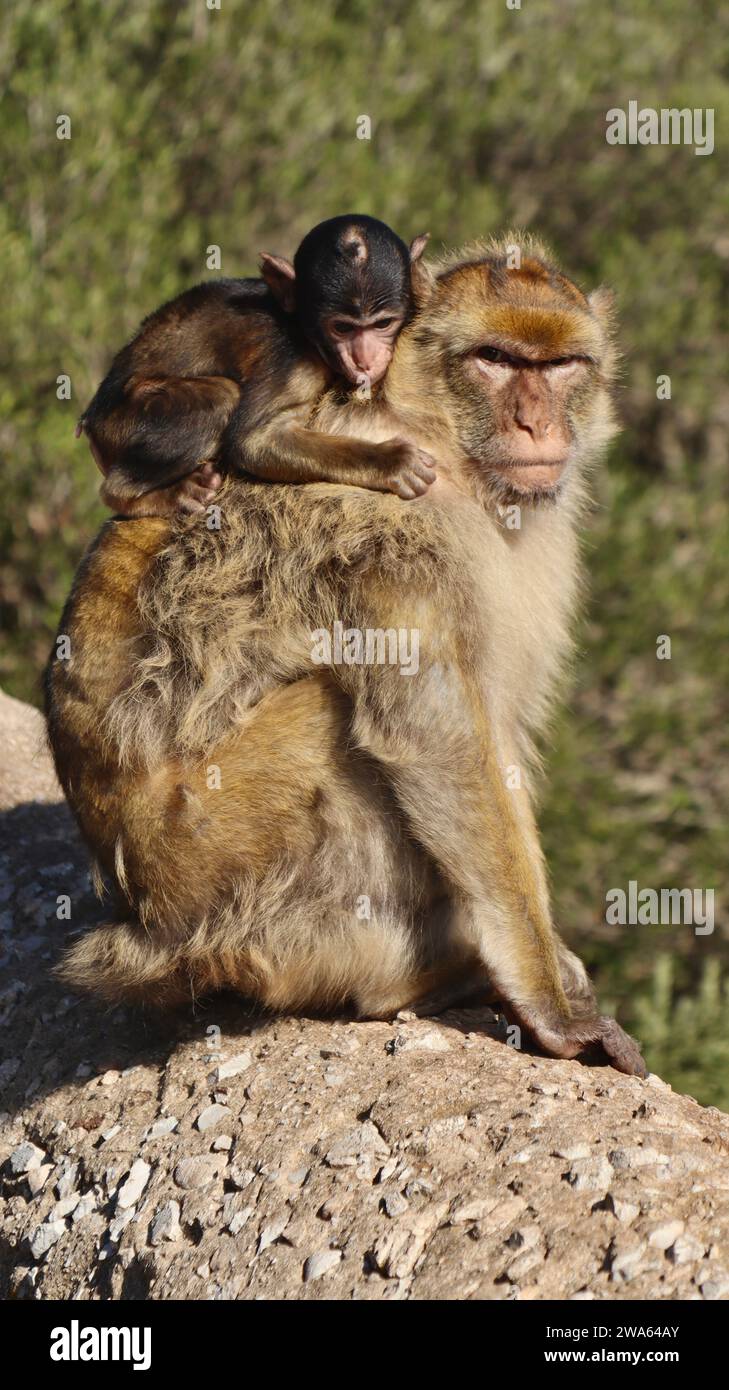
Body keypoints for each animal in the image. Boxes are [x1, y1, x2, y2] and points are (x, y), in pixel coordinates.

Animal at [78, 214, 435, 517]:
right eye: (343, 328)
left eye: (383, 324)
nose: (364, 358)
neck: (302, 327)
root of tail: (92, 420)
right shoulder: (293, 362)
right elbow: (254, 440)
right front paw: (390, 461)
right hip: (122, 422)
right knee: (219, 398)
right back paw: (136, 495)